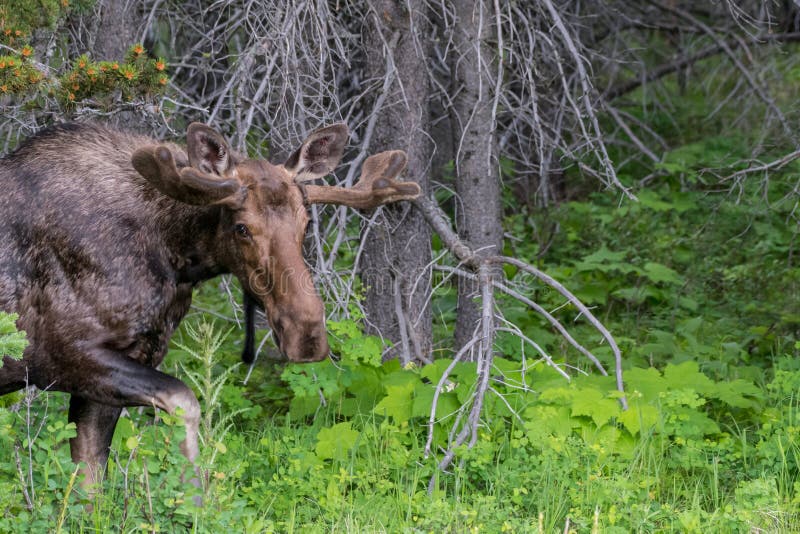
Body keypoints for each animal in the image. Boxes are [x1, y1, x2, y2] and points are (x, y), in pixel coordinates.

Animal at [0, 120, 420, 493]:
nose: (308, 334)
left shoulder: (121, 365)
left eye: (306, 223)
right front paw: (197, 502)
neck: (175, 261)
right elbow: (184, 402)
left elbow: (89, 492)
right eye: (241, 228)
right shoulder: (57, 356)